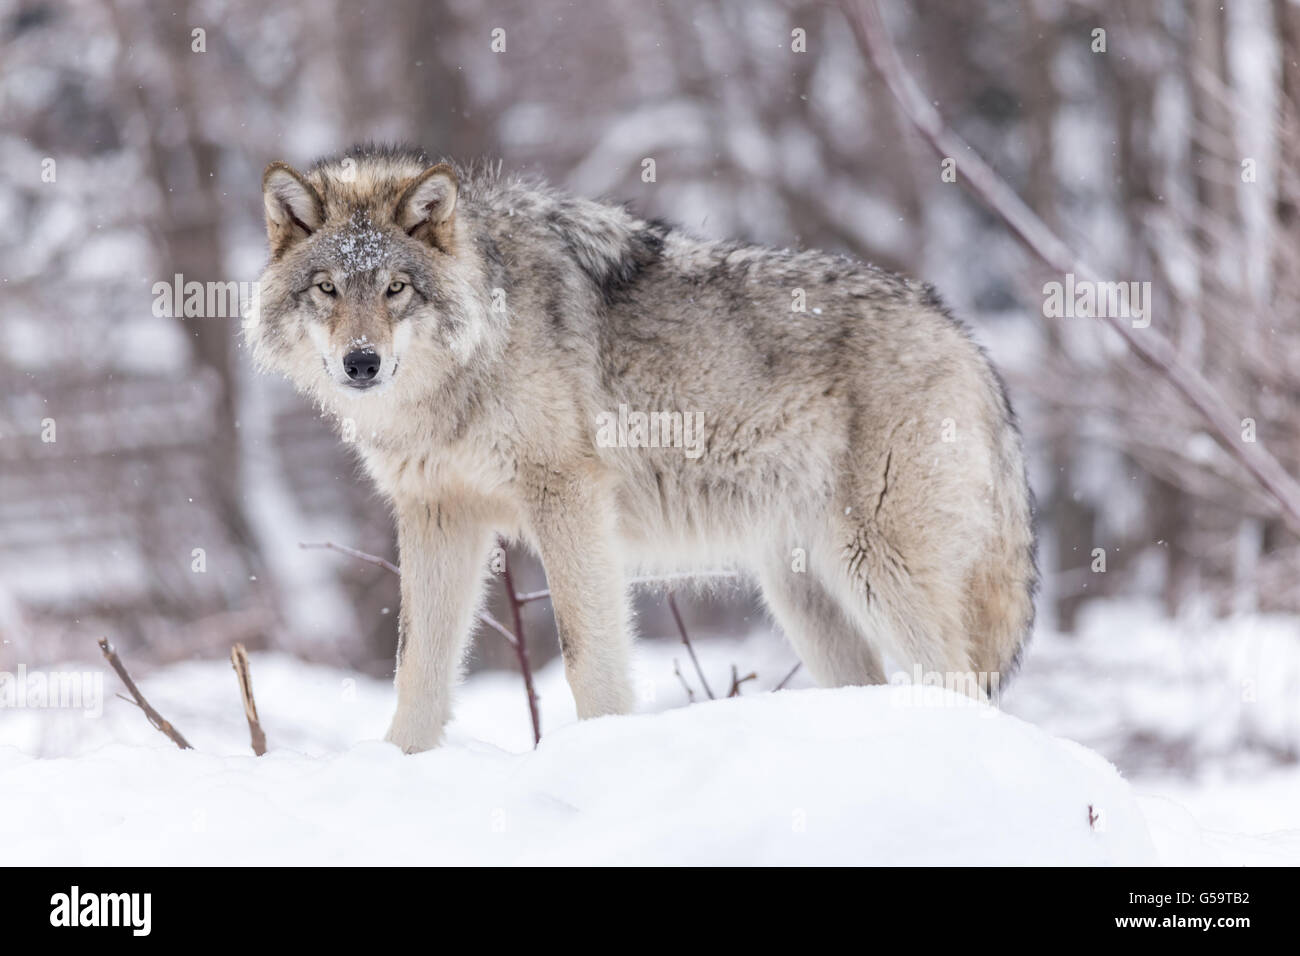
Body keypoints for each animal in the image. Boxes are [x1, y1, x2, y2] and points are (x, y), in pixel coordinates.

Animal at [249, 143, 1036, 753]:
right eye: (327, 289)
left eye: (395, 288)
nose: (361, 363)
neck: (467, 362)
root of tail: (965, 338)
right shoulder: (438, 513)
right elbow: (418, 667)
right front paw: (401, 762)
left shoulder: (567, 496)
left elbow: (585, 655)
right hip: (806, 596)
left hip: (878, 571)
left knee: (962, 686)